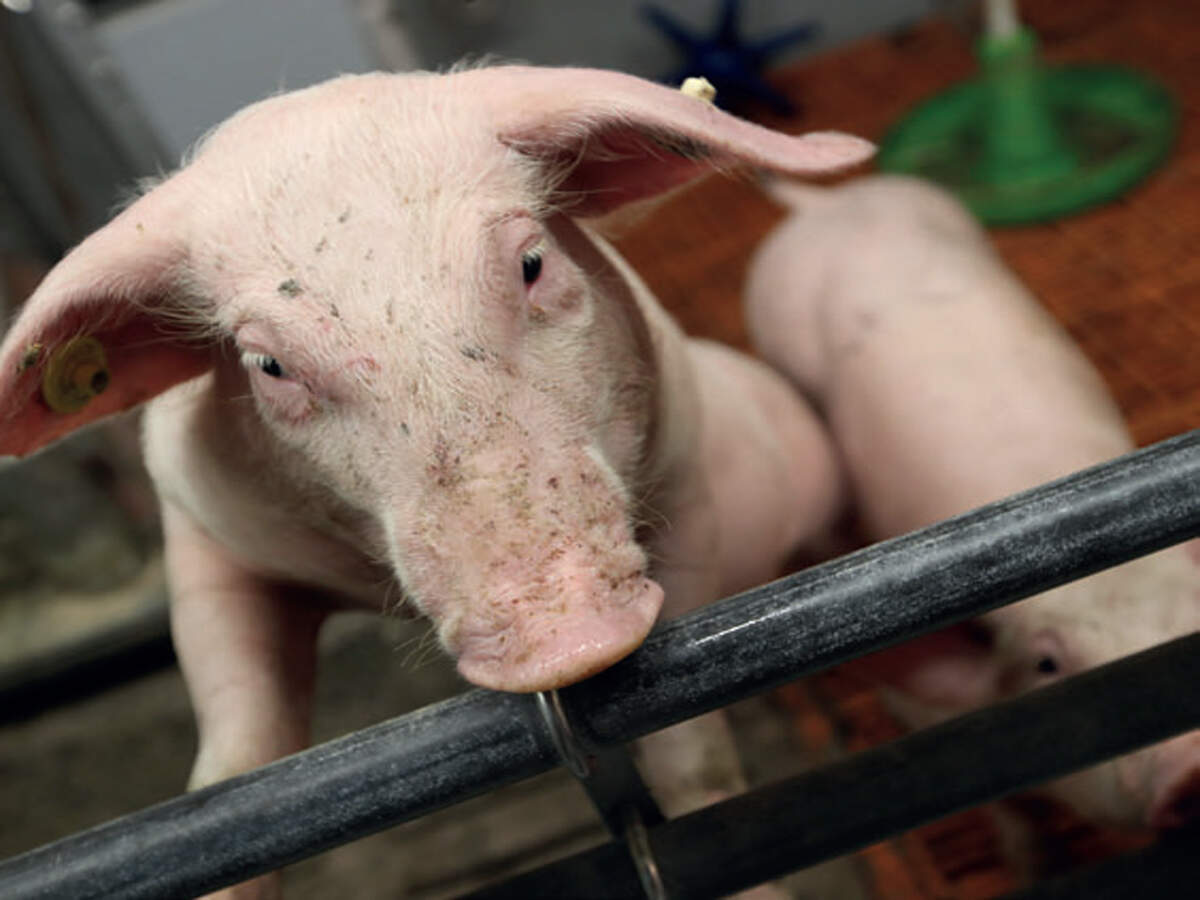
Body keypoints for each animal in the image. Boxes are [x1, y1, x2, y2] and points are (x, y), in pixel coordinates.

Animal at [0, 66, 872, 898]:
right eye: (267, 365)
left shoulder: (687, 481)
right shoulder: (206, 538)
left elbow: (690, 740)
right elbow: (238, 751)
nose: (560, 637)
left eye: (532, 263)